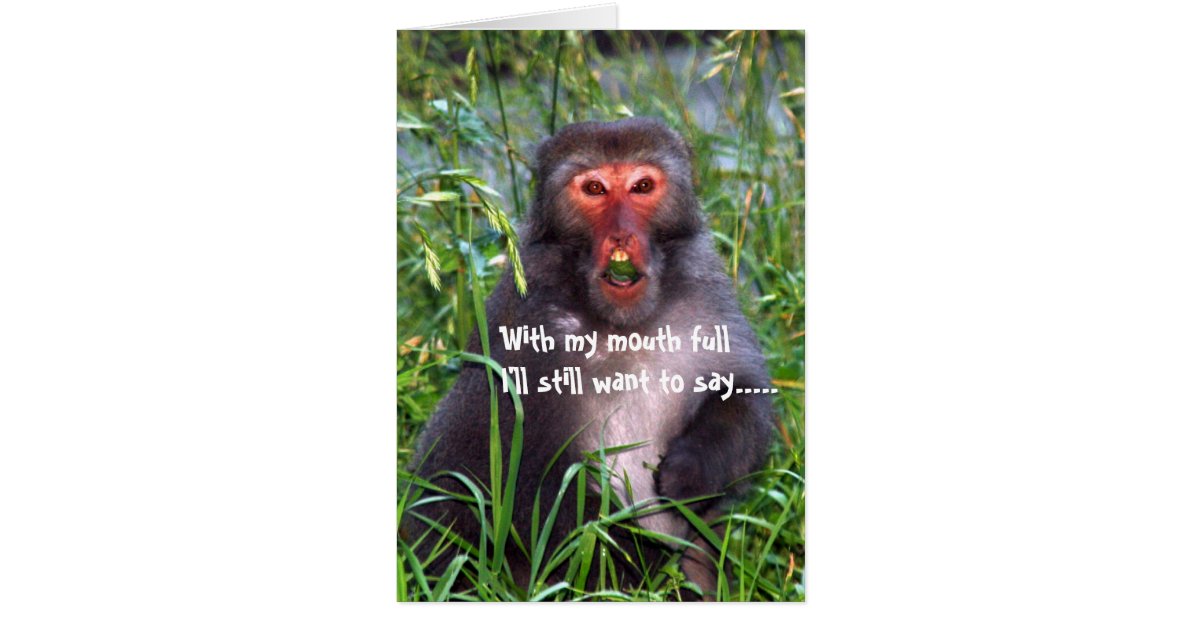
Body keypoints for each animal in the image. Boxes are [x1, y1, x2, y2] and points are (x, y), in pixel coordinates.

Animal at [401, 117, 775, 599]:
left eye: (641, 186)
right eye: (595, 188)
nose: (621, 234)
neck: (621, 326)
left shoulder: (707, 301)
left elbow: (742, 398)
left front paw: (692, 472)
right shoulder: (521, 337)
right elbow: (499, 478)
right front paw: (640, 555)